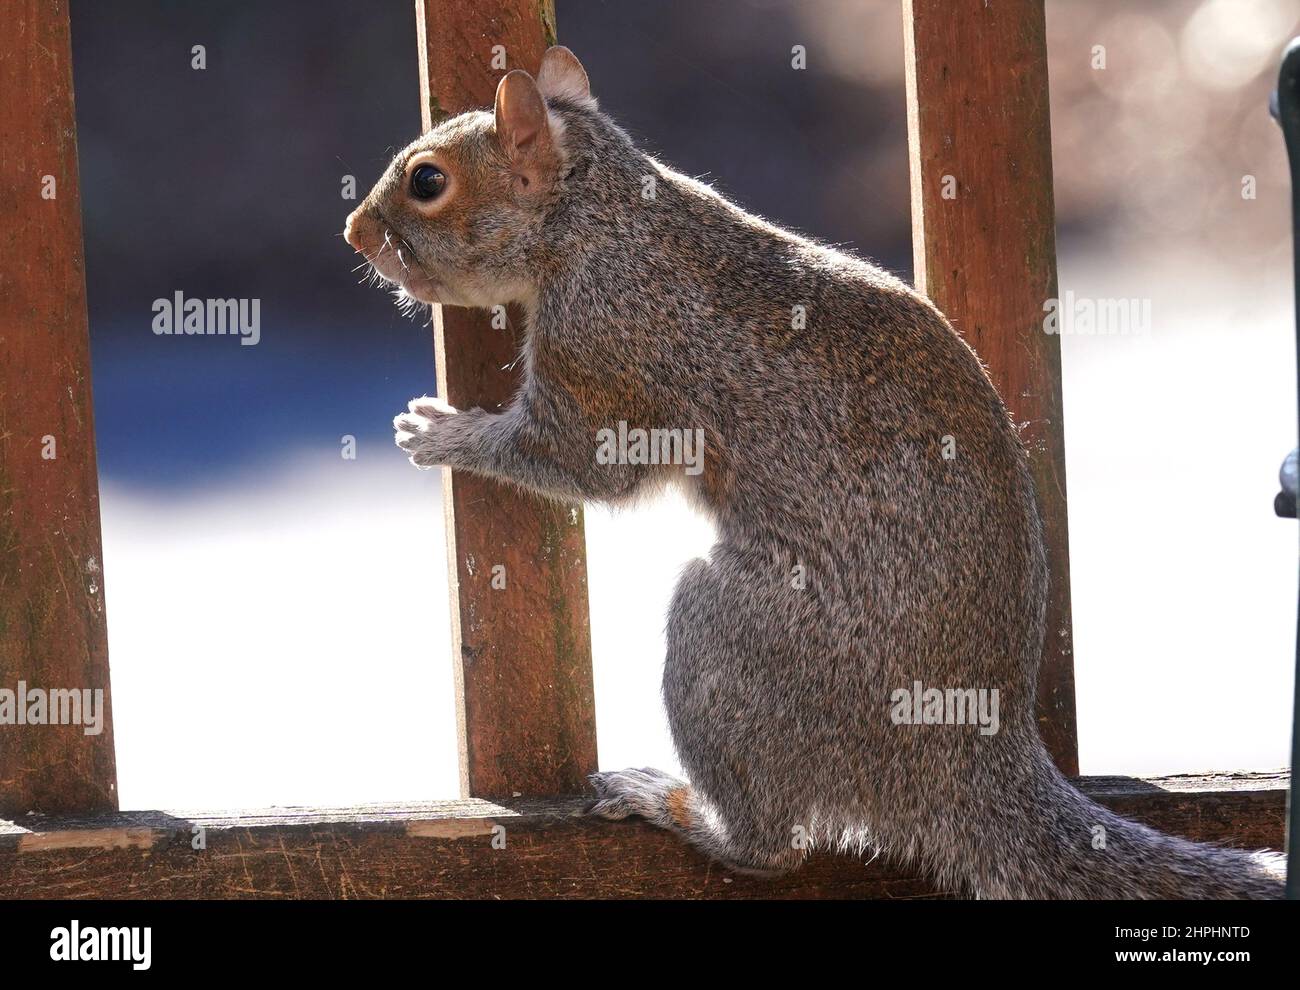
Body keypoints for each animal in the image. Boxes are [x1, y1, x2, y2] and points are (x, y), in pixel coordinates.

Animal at [344, 47, 1284, 898]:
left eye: (428, 182)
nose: (354, 234)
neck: (598, 218)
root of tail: (967, 760)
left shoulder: (605, 349)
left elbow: (582, 461)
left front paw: (446, 434)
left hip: (733, 640)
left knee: (770, 846)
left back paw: (670, 803)